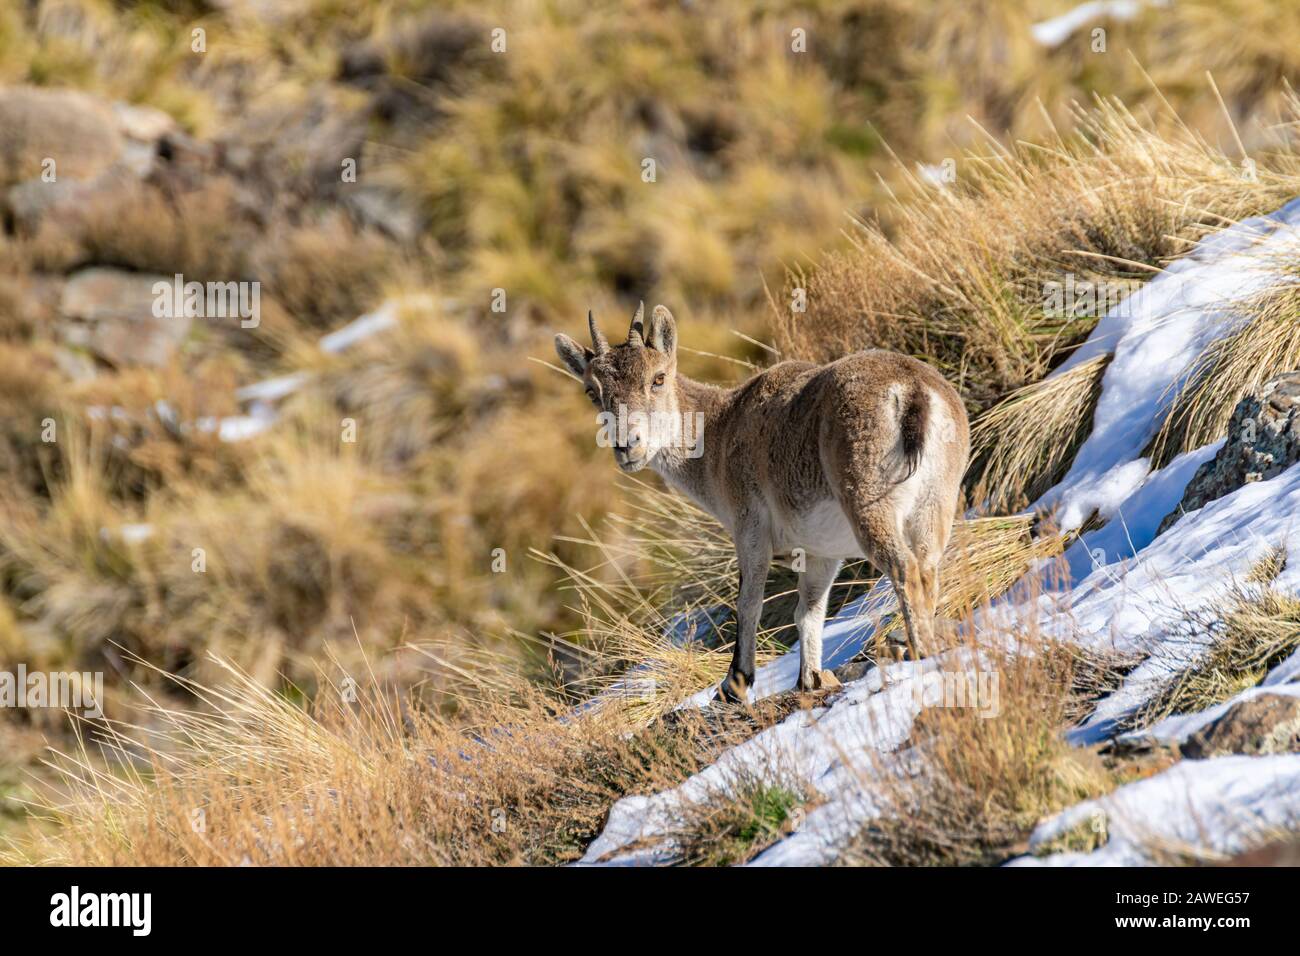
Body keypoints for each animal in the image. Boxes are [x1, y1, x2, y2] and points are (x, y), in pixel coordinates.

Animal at [555, 303, 970, 702]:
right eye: (592, 391)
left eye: (657, 378)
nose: (628, 446)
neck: (719, 431)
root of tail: (912, 392)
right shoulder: (821, 552)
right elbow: (809, 611)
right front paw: (811, 678)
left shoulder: (750, 527)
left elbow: (748, 602)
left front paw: (735, 683)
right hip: (936, 501)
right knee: (928, 567)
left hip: (868, 499)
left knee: (904, 568)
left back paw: (917, 648)